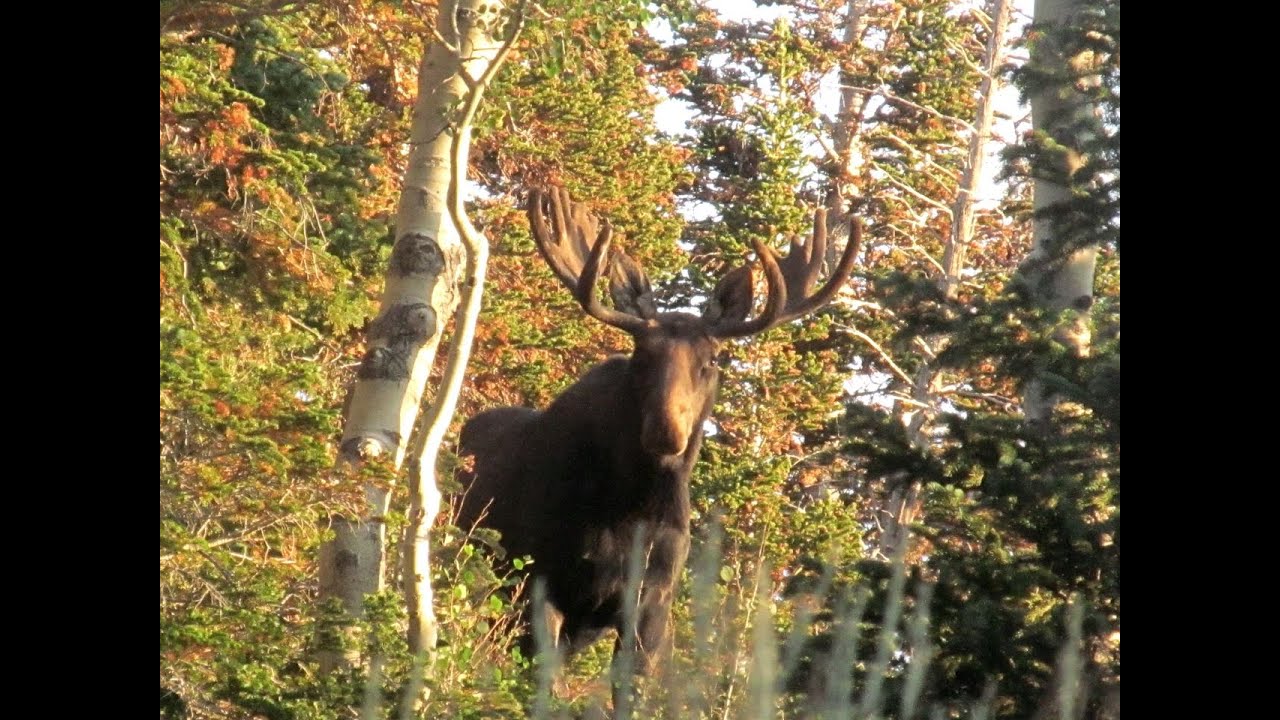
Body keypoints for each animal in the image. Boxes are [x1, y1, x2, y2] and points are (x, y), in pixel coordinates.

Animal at [453, 186, 861, 707]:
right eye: (642, 355)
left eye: (712, 359)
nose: (667, 430)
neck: (631, 508)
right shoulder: (538, 582)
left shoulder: (652, 602)